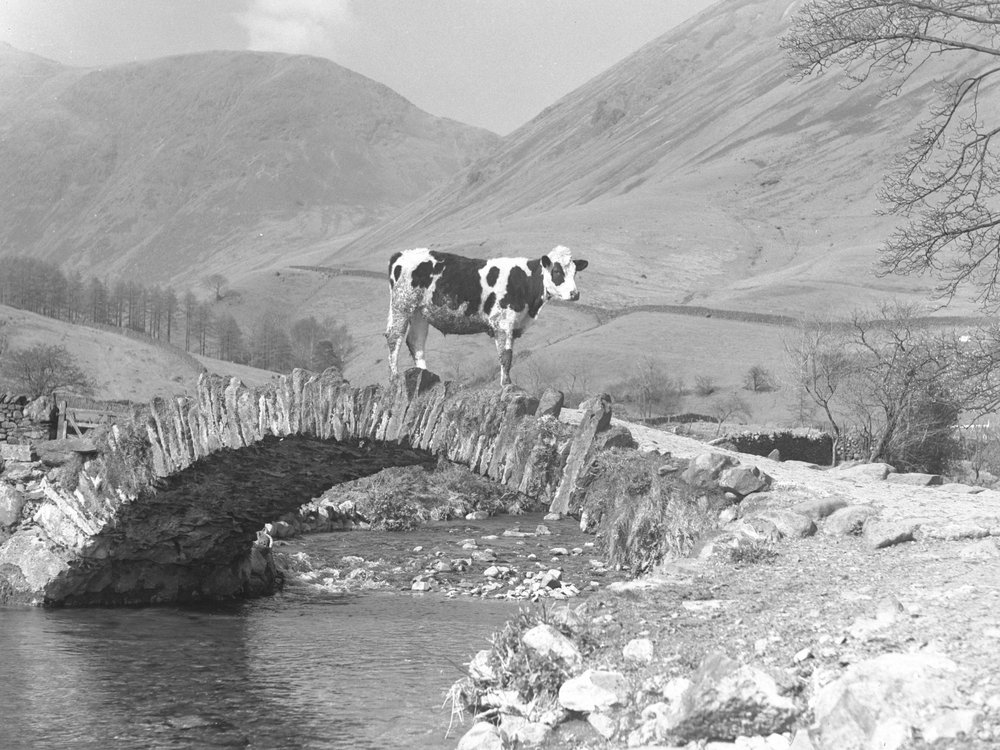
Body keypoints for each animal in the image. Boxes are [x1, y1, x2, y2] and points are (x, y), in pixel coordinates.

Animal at [385, 246, 588, 386]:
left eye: (575, 272)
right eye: (557, 271)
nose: (575, 294)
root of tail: (401, 254)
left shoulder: (511, 325)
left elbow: (507, 356)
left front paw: (507, 382)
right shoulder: (503, 322)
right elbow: (506, 356)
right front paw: (506, 385)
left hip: (419, 312)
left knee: (415, 341)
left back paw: (425, 374)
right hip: (402, 306)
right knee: (394, 337)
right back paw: (395, 377)